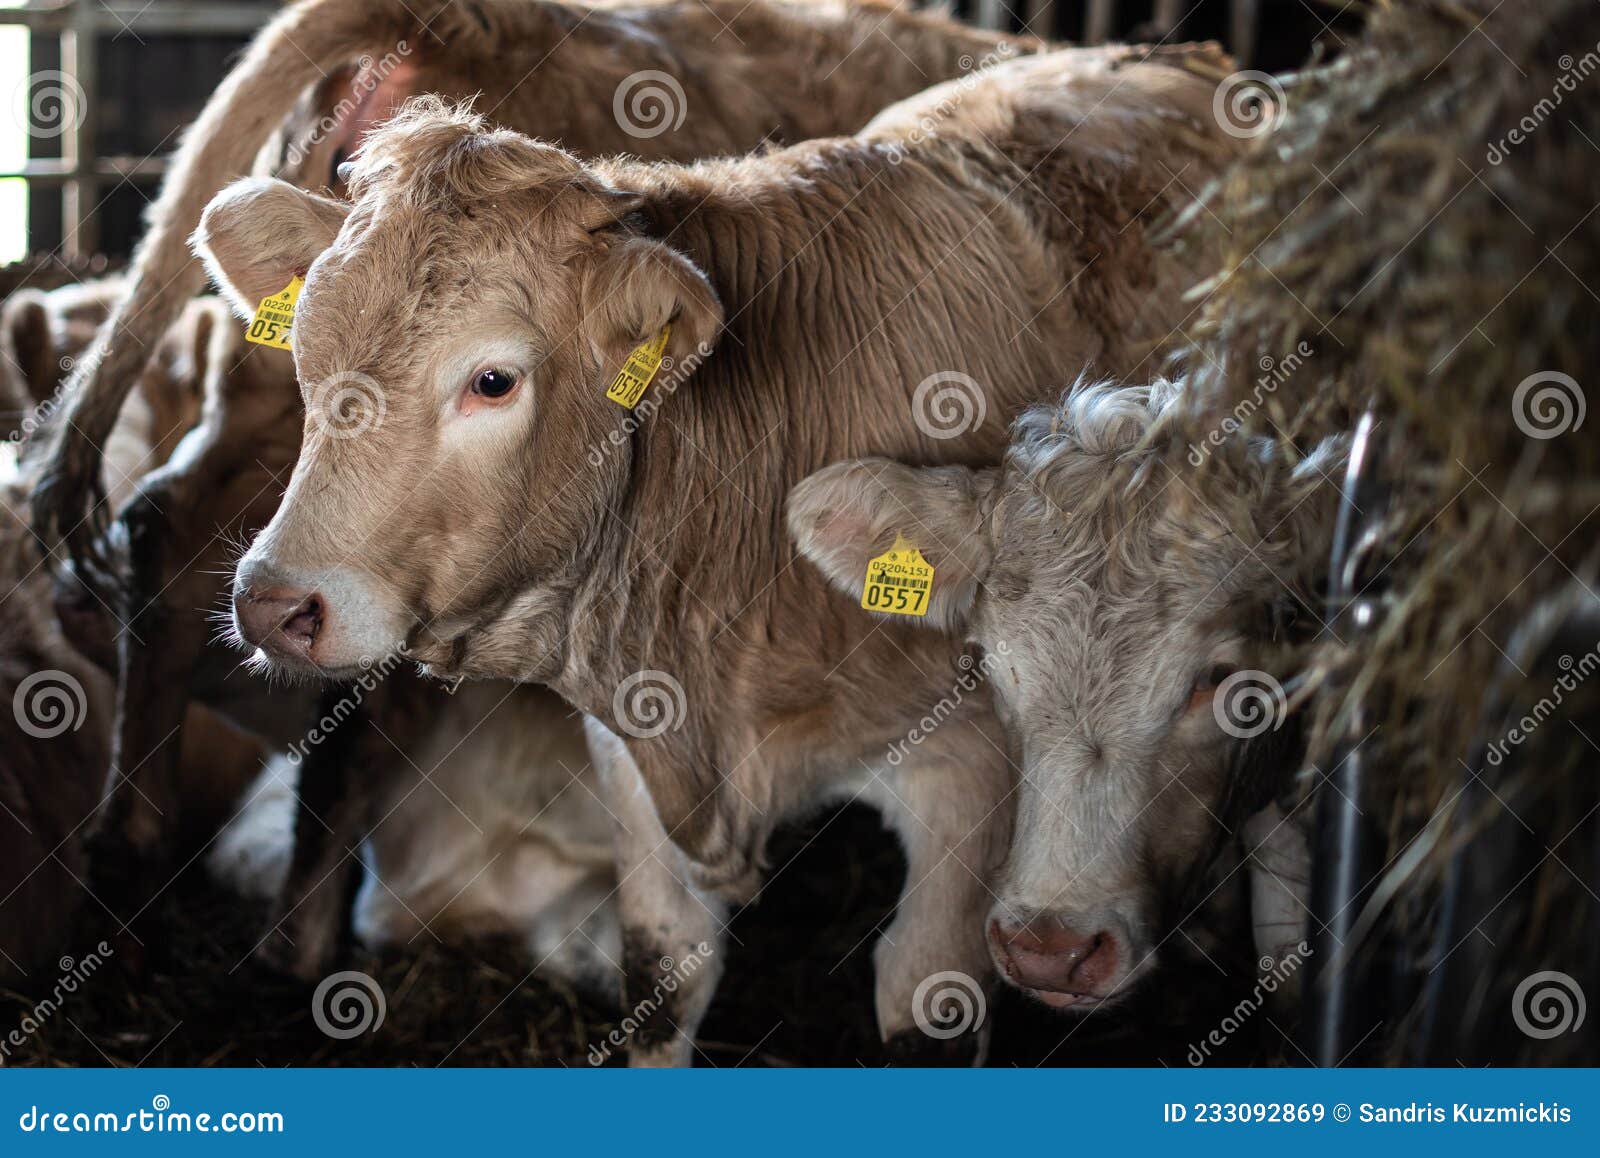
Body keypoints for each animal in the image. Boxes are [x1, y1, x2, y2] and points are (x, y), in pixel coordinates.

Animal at [193, 45, 1246, 1062]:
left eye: (492, 380)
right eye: (306, 351)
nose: (275, 604)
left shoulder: (972, 771)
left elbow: (923, 1000)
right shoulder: (631, 764)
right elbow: (661, 983)